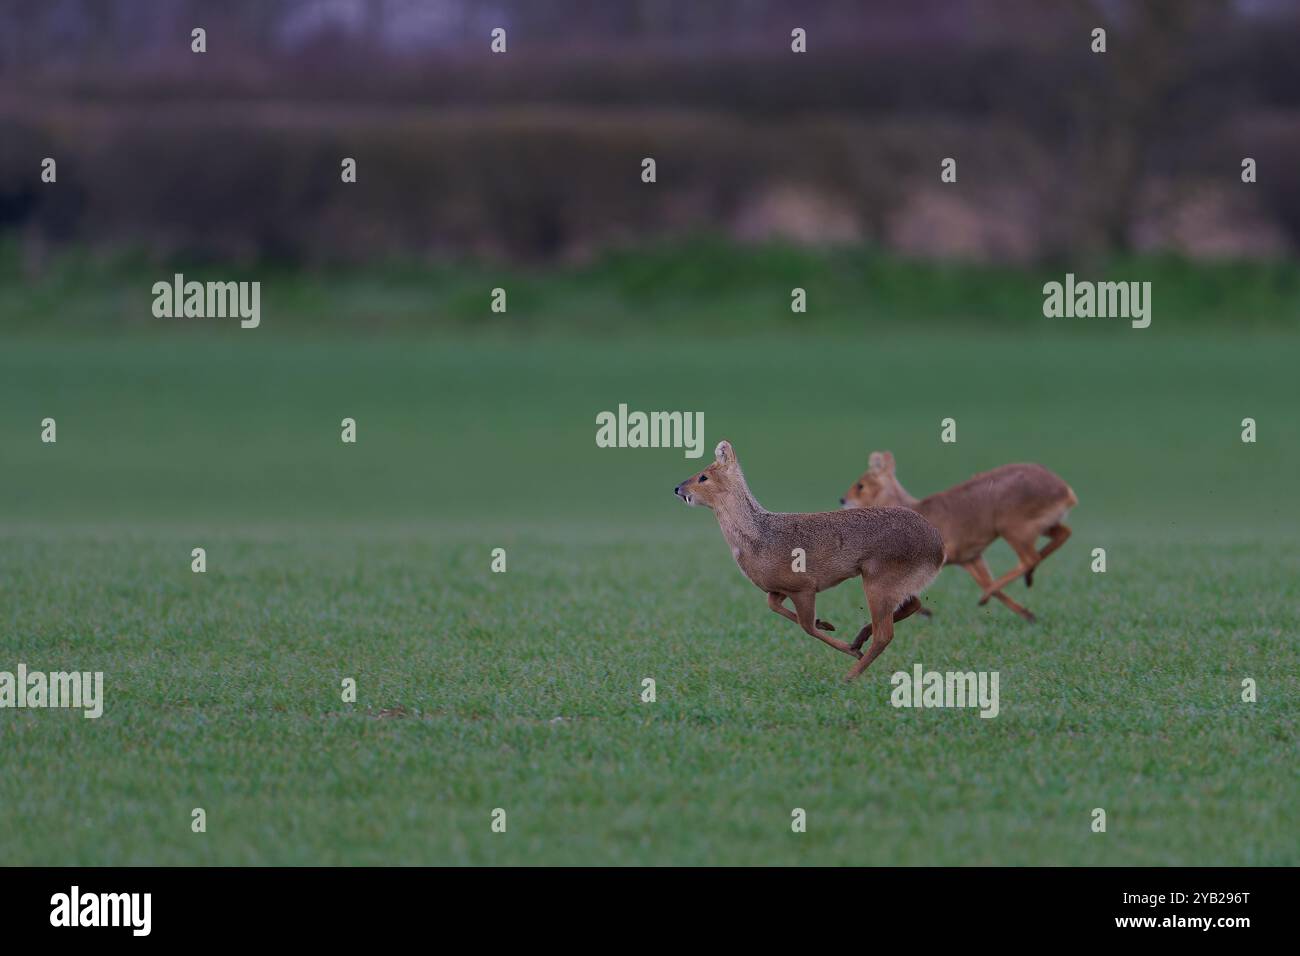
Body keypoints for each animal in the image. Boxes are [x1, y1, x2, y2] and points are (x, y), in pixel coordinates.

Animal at [674, 441, 946, 680]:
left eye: (703, 477)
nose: (677, 488)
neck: (758, 538)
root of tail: (939, 548)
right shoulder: (779, 588)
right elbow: (774, 606)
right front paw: (828, 625)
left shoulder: (804, 586)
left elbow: (806, 626)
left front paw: (846, 646)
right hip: (896, 583)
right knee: (913, 605)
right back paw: (860, 638)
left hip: (878, 581)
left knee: (885, 633)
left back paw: (850, 674)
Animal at [840, 452, 1077, 622]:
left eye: (860, 485)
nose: (842, 499)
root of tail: (1066, 491)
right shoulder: (969, 557)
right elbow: (985, 581)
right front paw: (1027, 614)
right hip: (1041, 526)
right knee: (1062, 535)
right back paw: (1023, 582)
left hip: (1013, 527)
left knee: (1030, 558)